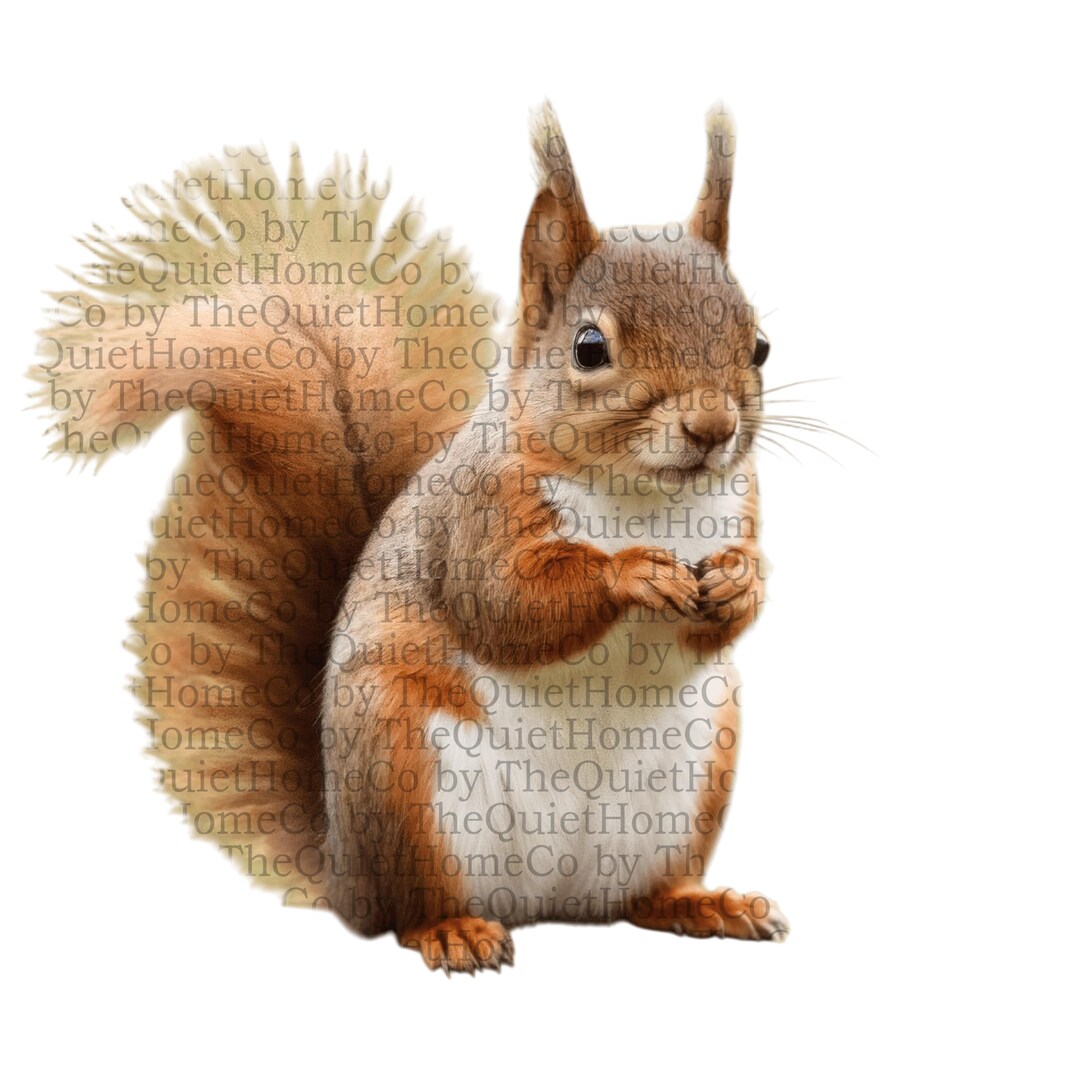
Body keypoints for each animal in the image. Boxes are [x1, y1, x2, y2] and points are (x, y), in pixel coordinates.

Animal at [37, 102, 788, 973]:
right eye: (590, 348)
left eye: (759, 345)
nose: (712, 427)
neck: (643, 496)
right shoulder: (479, 515)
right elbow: (506, 603)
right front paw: (632, 573)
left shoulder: (739, 504)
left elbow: (727, 609)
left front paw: (739, 580)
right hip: (405, 772)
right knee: (410, 907)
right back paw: (454, 931)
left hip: (686, 782)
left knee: (641, 899)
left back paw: (708, 904)